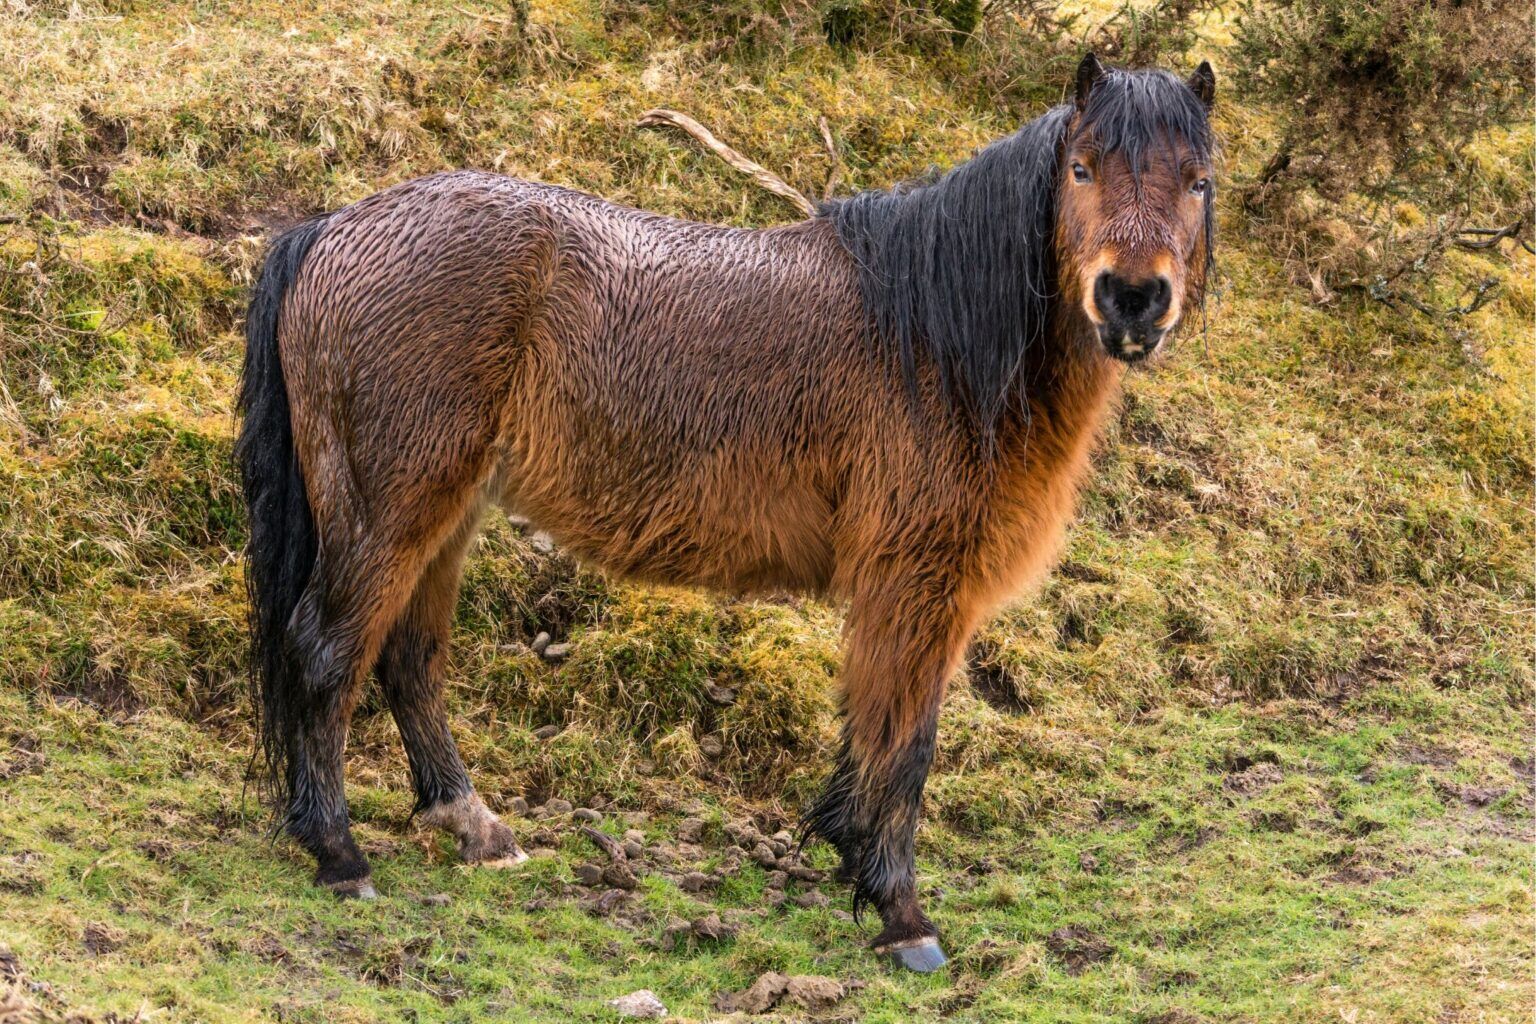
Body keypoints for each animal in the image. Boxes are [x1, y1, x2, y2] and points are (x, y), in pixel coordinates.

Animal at [236, 53, 1217, 972]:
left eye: (1197, 179)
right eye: (1082, 168)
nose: (1133, 298)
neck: (932, 338)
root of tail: (329, 229)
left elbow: (877, 735)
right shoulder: (916, 584)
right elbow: (904, 744)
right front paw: (900, 915)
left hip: (444, 512)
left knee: (408, 658)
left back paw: (473, 826)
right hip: (390, 509)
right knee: (327, 652)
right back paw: (339, 854)